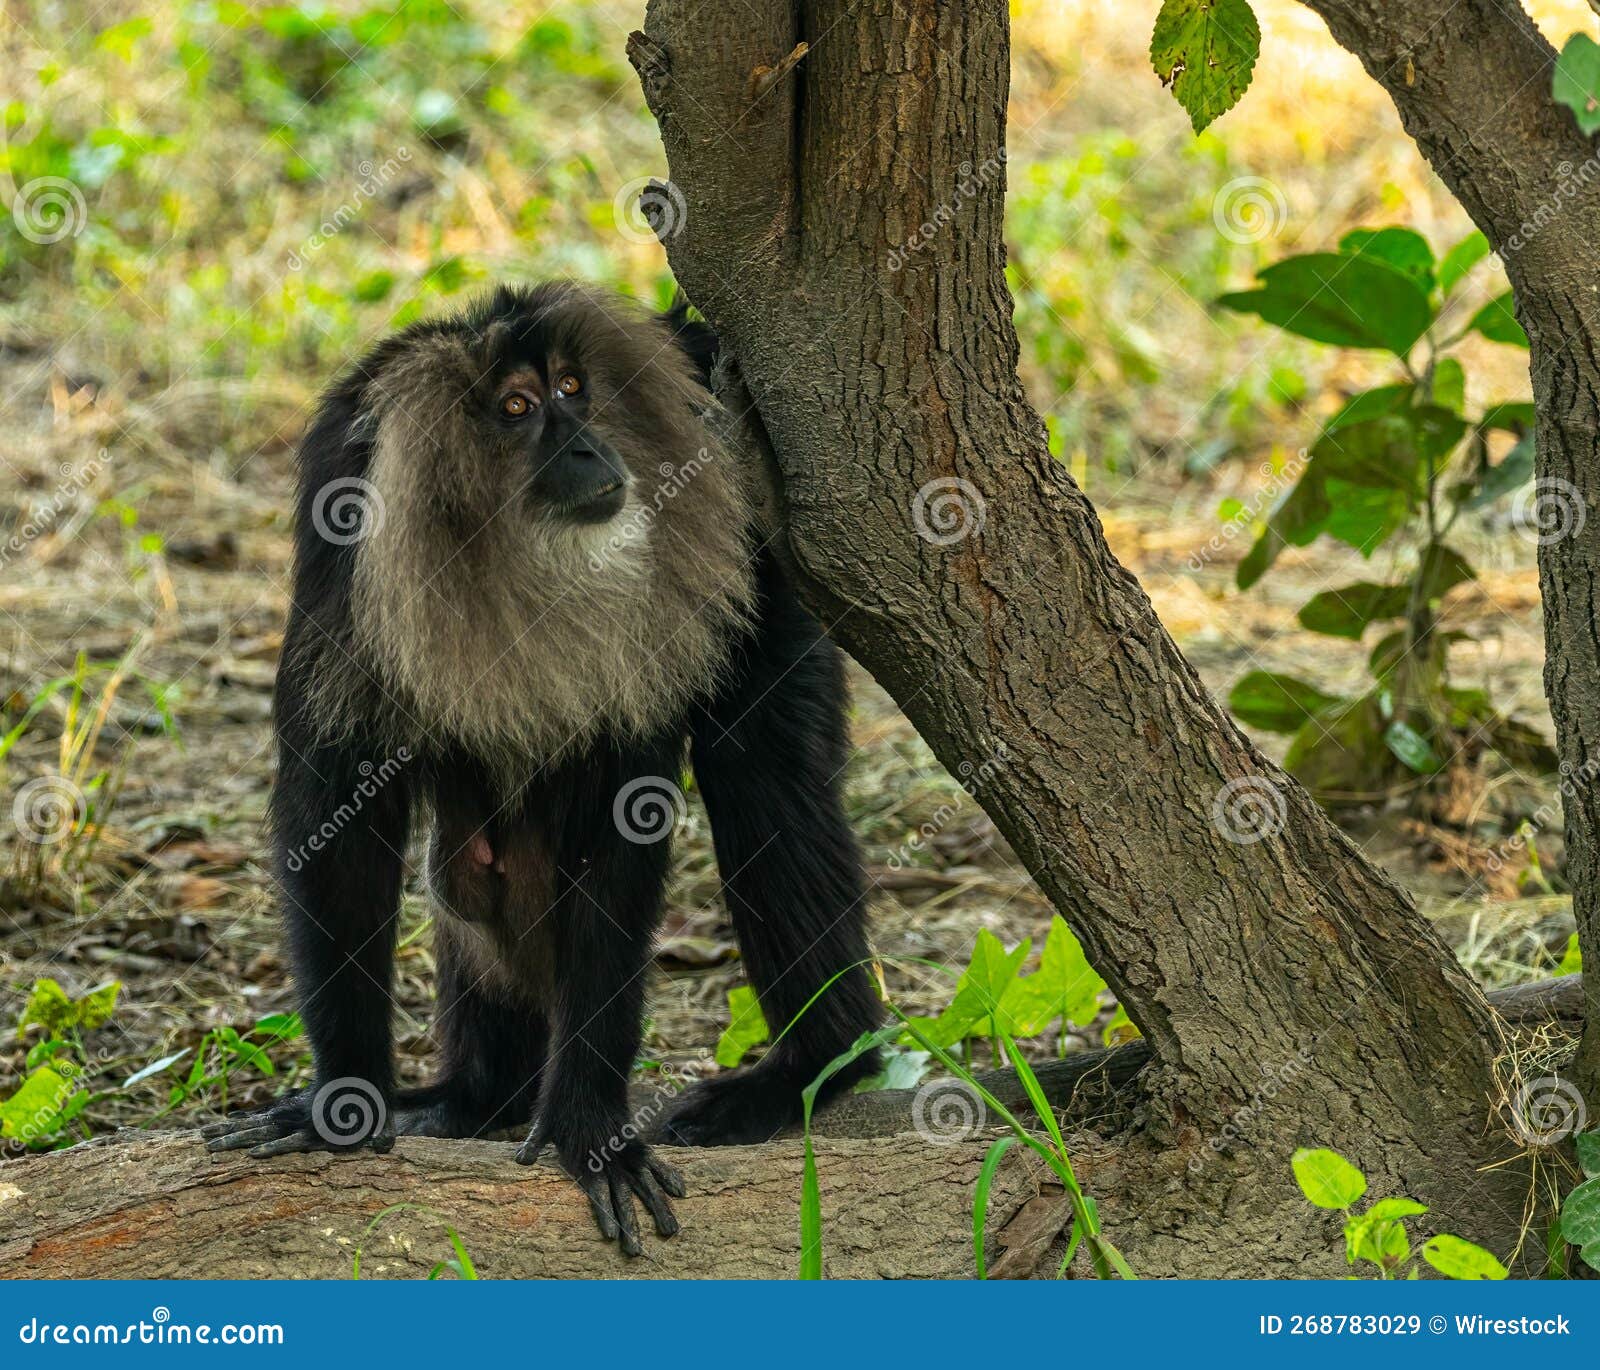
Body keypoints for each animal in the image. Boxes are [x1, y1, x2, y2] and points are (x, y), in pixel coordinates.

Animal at [203, 282, 882, 1256]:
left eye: (573, 389)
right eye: (520, 408)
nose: (591, 447)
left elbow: (628, 817)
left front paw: (588, 1127)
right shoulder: (346, 522)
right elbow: (335, 817)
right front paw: (344, 1103)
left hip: (766, 580)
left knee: (762, 775)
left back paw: (816, 1061)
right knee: (473, 872)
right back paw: (472, 1097)